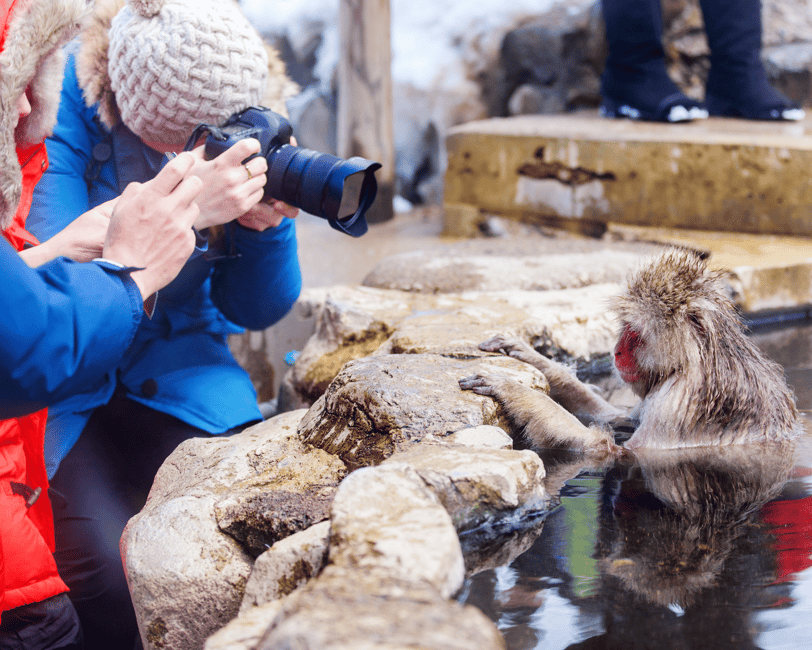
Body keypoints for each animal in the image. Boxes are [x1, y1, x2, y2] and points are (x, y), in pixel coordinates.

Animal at [459, 248, 802, 454]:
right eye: (623, 325)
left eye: (634, 331)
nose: (616, 353)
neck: (696, 360)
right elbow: (617, 417)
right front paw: (529, 355)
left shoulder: (679, 402)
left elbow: (616, 452)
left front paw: (518, 393)